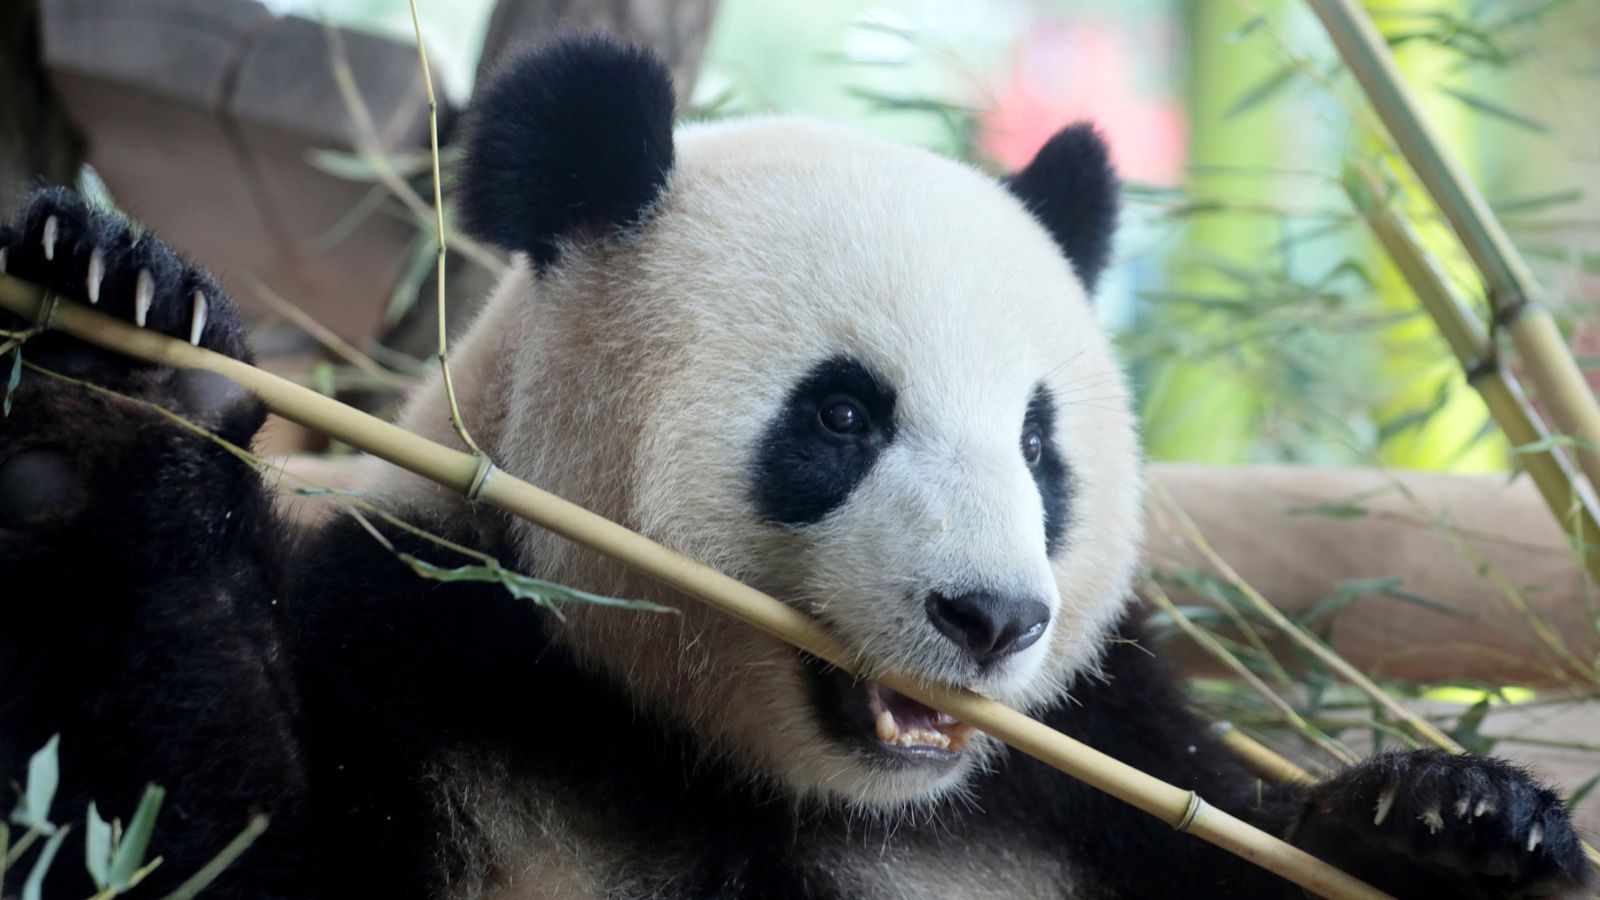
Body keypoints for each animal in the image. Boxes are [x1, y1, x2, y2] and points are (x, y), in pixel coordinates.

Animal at [0, 32, 1592, 900]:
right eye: (841, 418)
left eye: (1039, 444)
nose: (992, 619)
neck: (784, 780)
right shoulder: (432, 642)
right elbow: (201, 838)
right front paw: (130, 348)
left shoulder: (1099, 770)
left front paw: (1458, 822)